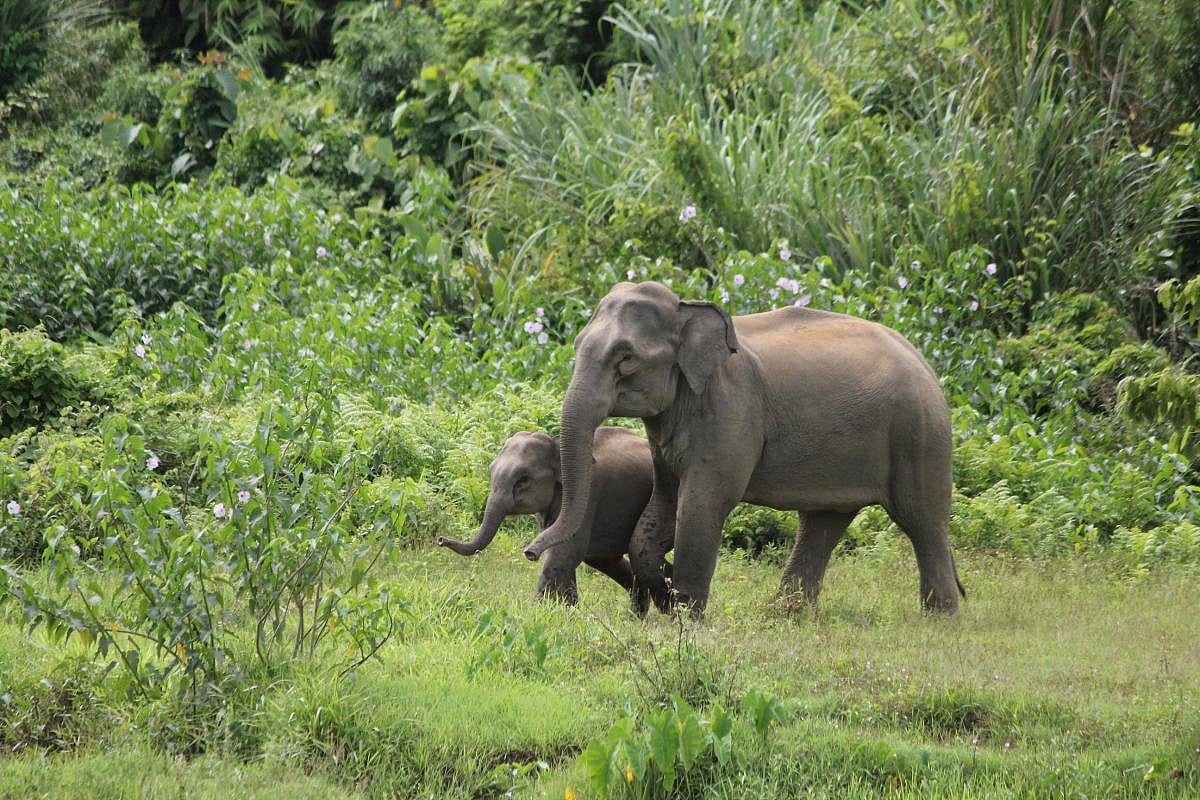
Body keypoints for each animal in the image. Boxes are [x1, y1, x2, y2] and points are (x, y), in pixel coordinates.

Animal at [437, 427, 656, 605]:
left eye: (523, 479)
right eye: (491, 470)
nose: (440, 540)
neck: (556, 443)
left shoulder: (587, 495)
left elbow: (565, 550)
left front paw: (538, 612)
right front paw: (568, 609)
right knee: (603, 559)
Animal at [523, 281, 966, 616]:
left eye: (626, 358)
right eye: (577, 344)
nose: (528, 552)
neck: (686, 309)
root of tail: (924, 361)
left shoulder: (731, 412)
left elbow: (701, 505)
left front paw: (686, 617)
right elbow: (662, 506)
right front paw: (665, 591)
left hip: (919, 435)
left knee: (921, 520)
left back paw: (940, 618)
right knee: (823, 523)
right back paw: (786, 615)